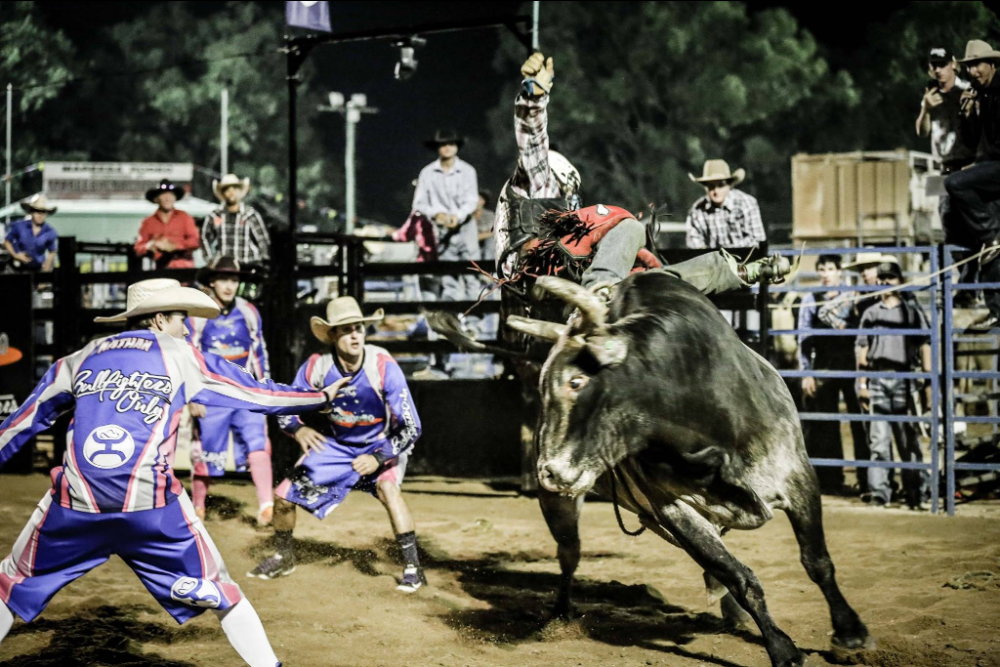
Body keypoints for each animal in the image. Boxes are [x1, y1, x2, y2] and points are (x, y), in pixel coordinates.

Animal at [507, 271, 871, 667]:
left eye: (576, 381)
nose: (548, 471)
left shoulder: (797, 475)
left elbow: (816, 560)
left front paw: (850, 632)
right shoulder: (674, 509)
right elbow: (740, 577)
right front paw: (782, 648)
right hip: (558, 505)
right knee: (569, 553)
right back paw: (560, 614)